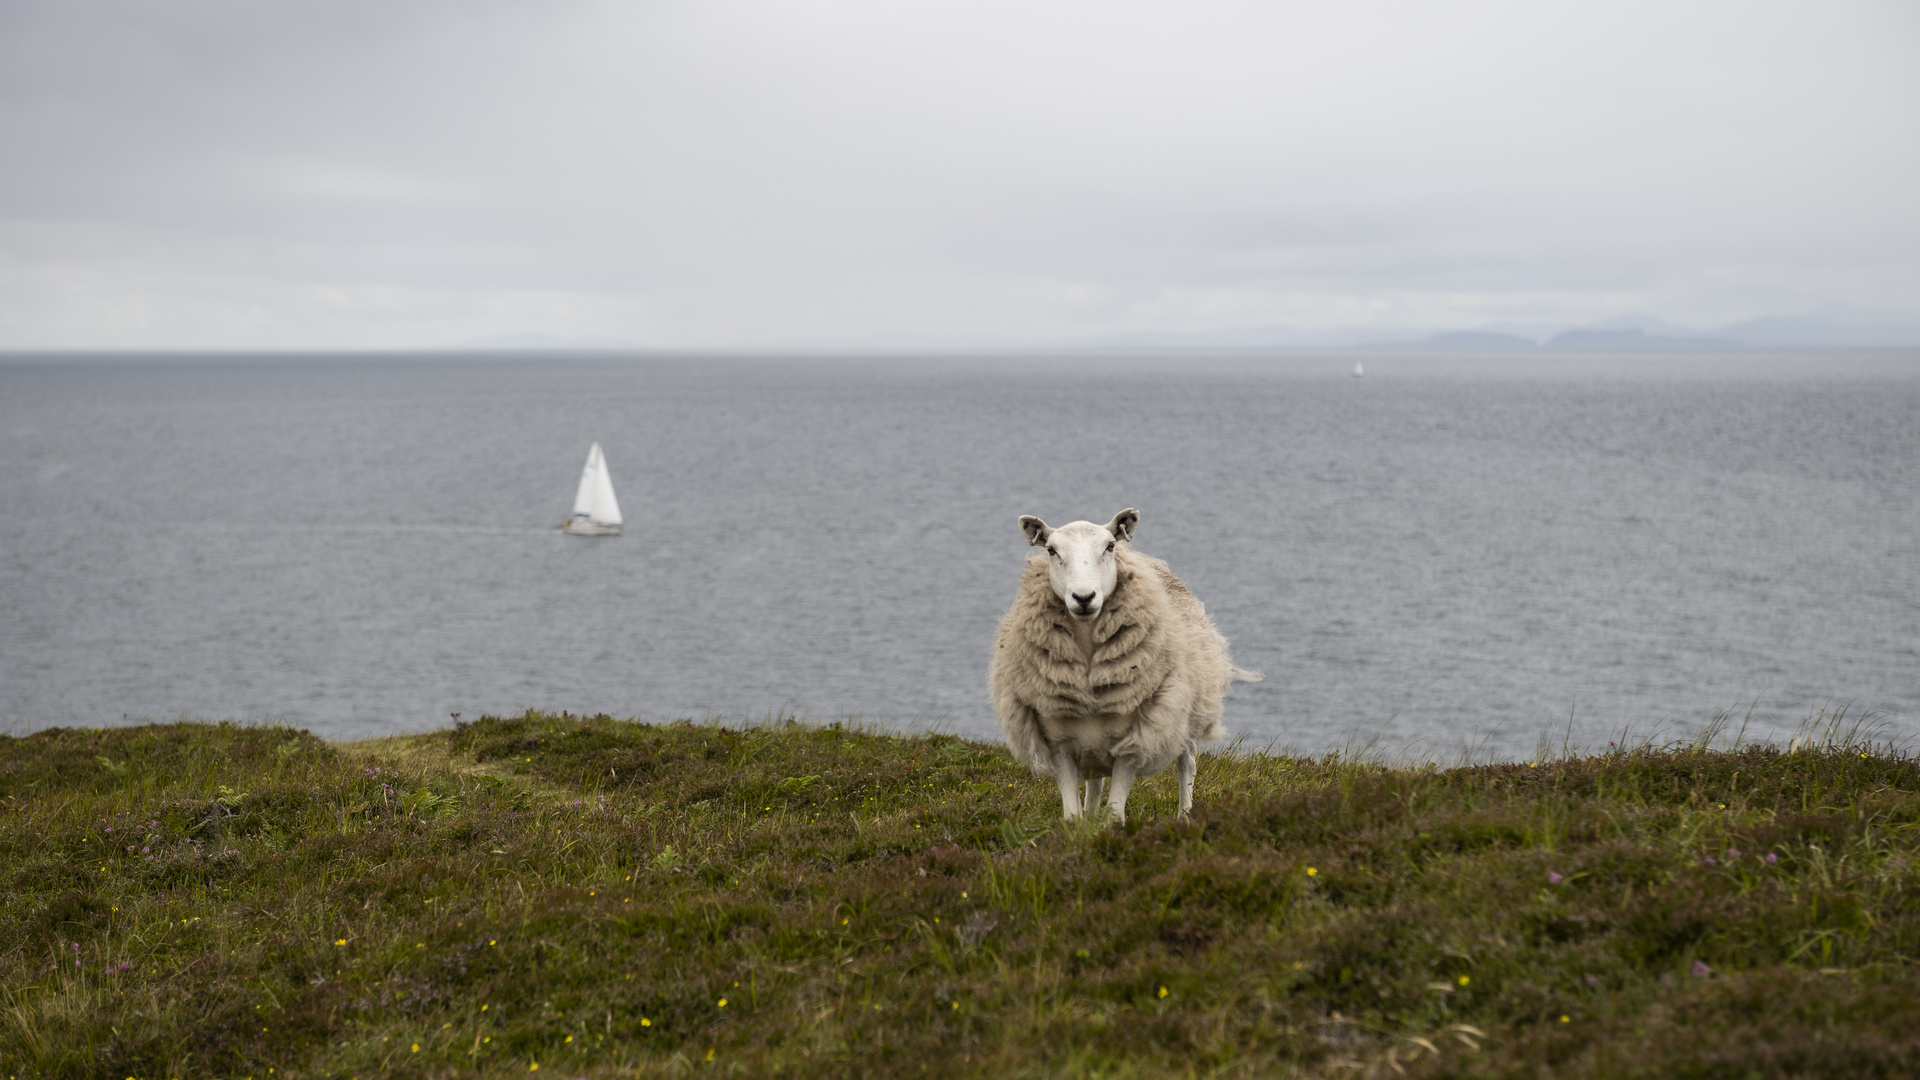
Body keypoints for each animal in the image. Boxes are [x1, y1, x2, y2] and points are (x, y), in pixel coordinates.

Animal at [990, 507, 1259, 818]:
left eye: (1109, 546)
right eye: (1051, 550)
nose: (1084, 597)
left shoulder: (1134, 745)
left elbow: (1114, 816)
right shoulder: (1058, 746)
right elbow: (1071, 816)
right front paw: (1082, 826)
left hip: (1182, 713)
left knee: (1187, 763)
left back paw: (1184, 816)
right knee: (1094, 783)